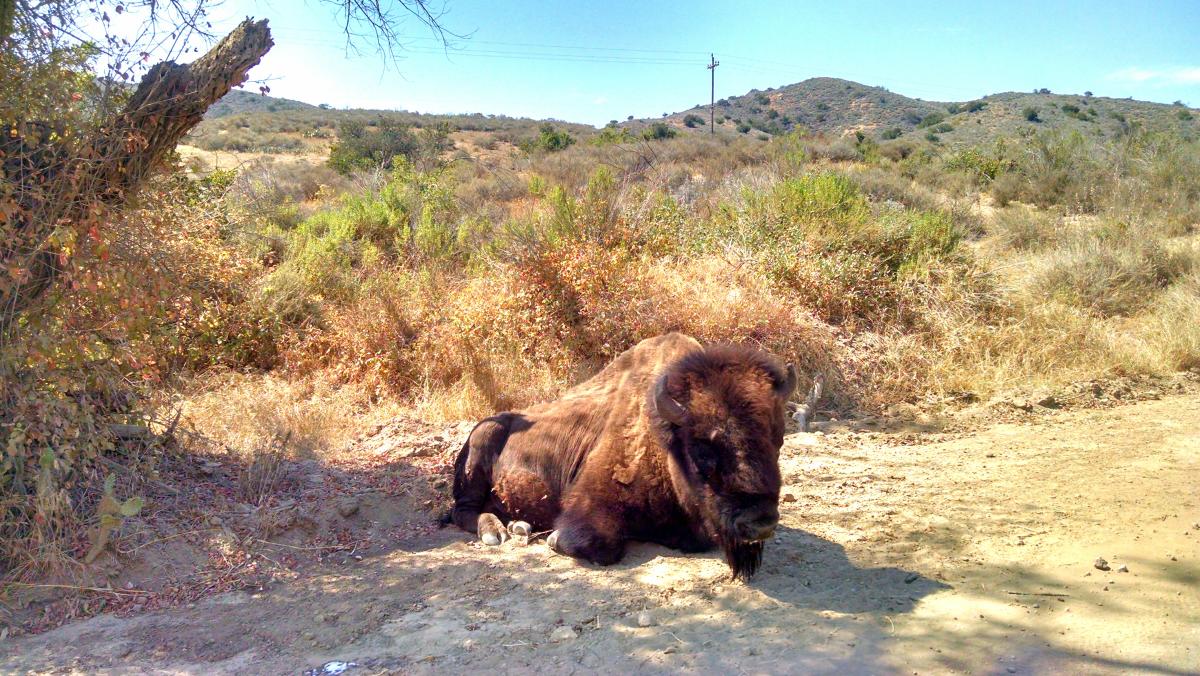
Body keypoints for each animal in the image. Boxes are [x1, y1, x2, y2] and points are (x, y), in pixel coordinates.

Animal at [448, 333, 797, 579]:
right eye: (702, 451)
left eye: (778, 439)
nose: (760, 523)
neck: (662, 439)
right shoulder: (589, 503)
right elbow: (600, 545)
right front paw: (554, 539)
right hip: (481, 446)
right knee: (463, 510)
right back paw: (495, 533)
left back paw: (519, 526)